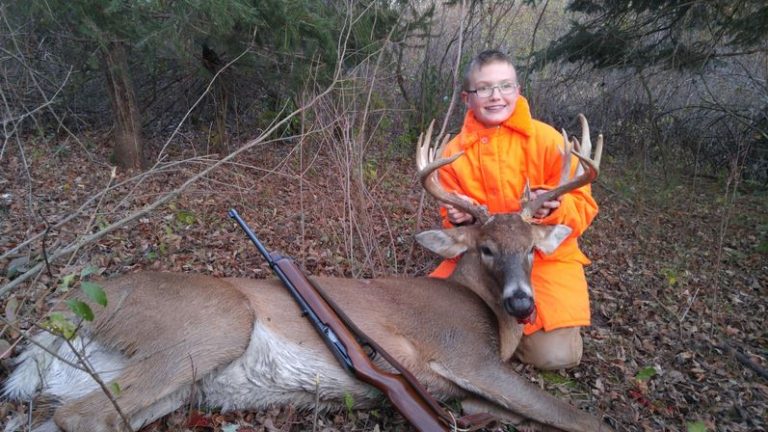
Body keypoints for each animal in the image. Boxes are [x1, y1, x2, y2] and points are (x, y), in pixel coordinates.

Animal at [3, 115, 610, 432]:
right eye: (485, 248)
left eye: (531, 250)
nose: (522, 305)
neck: (483, 313)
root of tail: (58, 319)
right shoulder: (465, 354)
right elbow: (585, 420)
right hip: (210, 325)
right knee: (81, 416)